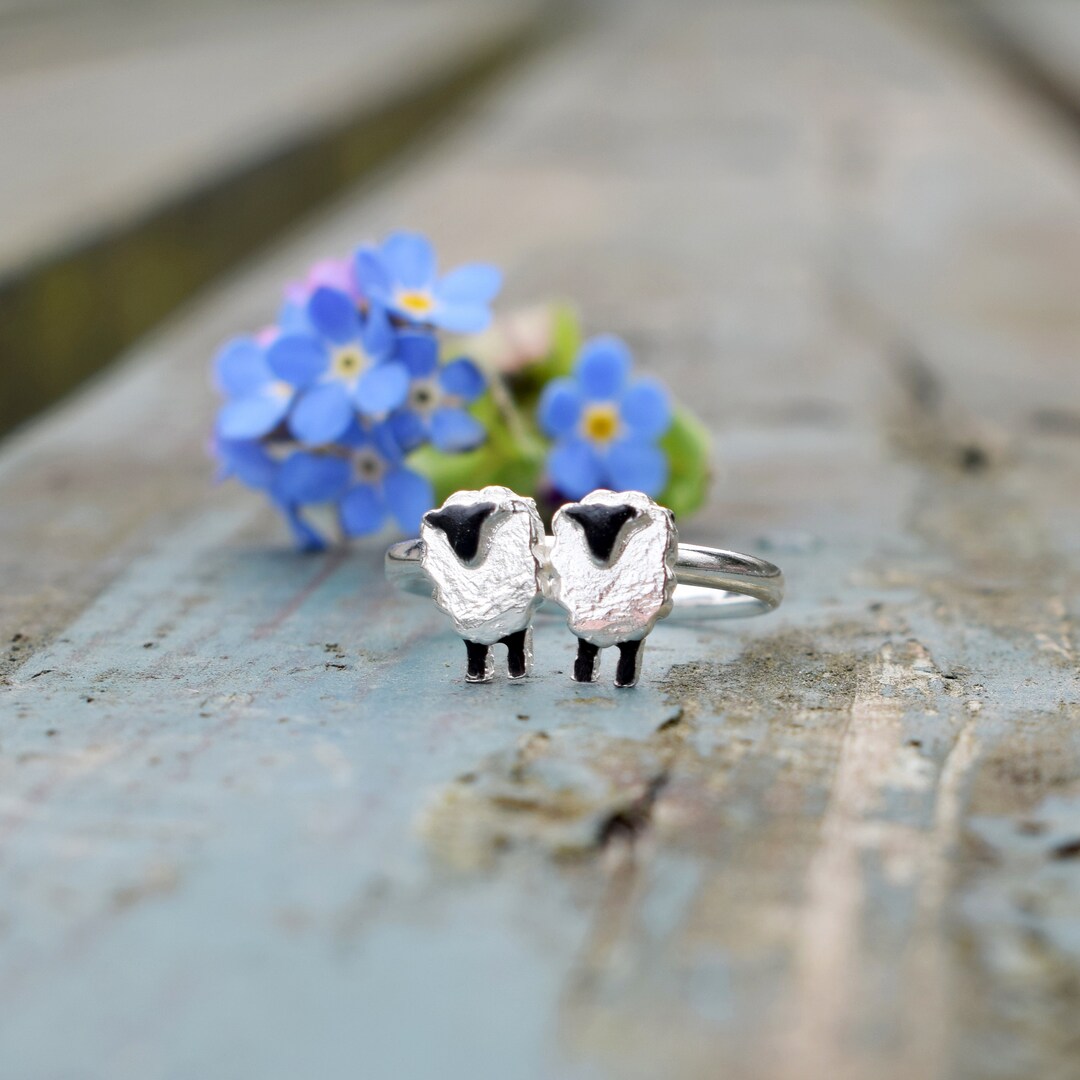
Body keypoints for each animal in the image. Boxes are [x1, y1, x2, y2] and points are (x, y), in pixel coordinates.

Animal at [421, 485, 546, 682]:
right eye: (449, 529)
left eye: (475, 525)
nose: (466, 556)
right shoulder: (472, 635)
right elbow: (475, 656)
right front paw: (474, 677)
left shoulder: (516, 628)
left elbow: (516, 654)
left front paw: (517, 675)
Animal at [547, 489, 678, 687]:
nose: (671, 514)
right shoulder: (586, 633)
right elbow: (585, 657)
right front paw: (583, 679)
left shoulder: (634, 634)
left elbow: (627, 662)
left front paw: (624, 683)